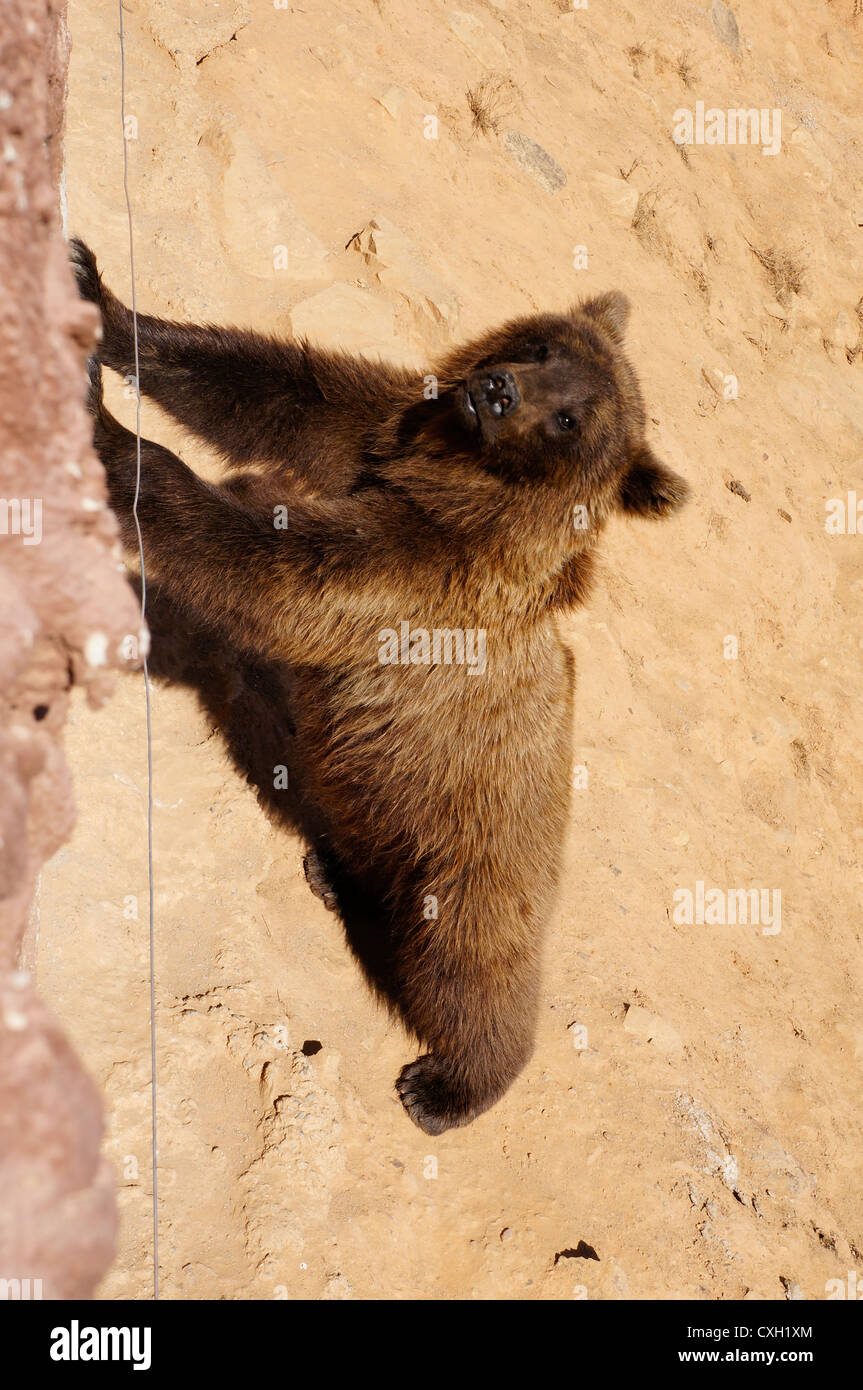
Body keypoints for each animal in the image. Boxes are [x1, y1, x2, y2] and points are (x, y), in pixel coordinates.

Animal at [70, 237, 689, 1134]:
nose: (495, 390)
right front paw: (96, 297)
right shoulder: (379, 435)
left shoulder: (417, 574)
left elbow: (273, 571)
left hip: (480, 850)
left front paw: (105, 427)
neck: (456, 476)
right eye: (543, 348)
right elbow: (277, 388)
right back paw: (333, 874)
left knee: (469, 967)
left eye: (573, 419)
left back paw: (447, 1086)